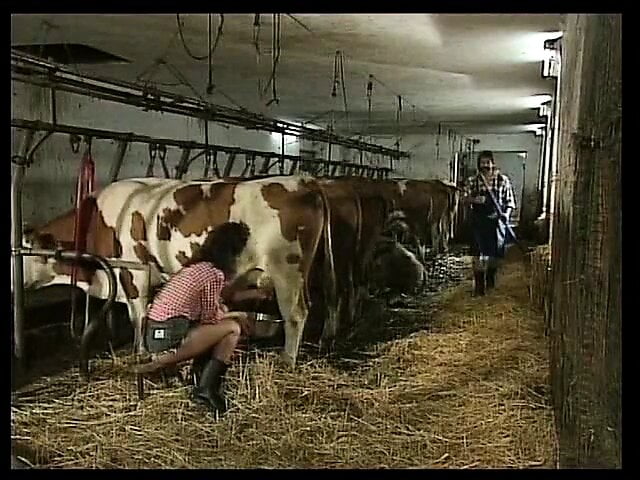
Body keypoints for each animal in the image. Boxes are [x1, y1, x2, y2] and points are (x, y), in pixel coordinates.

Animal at [20, 176, 338, 372]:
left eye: (25, 254)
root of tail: (302, 180)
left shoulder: (133, 272)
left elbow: (139, 315)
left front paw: (140, 354)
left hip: (286, 269)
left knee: (295, 314)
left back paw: (287, 361)